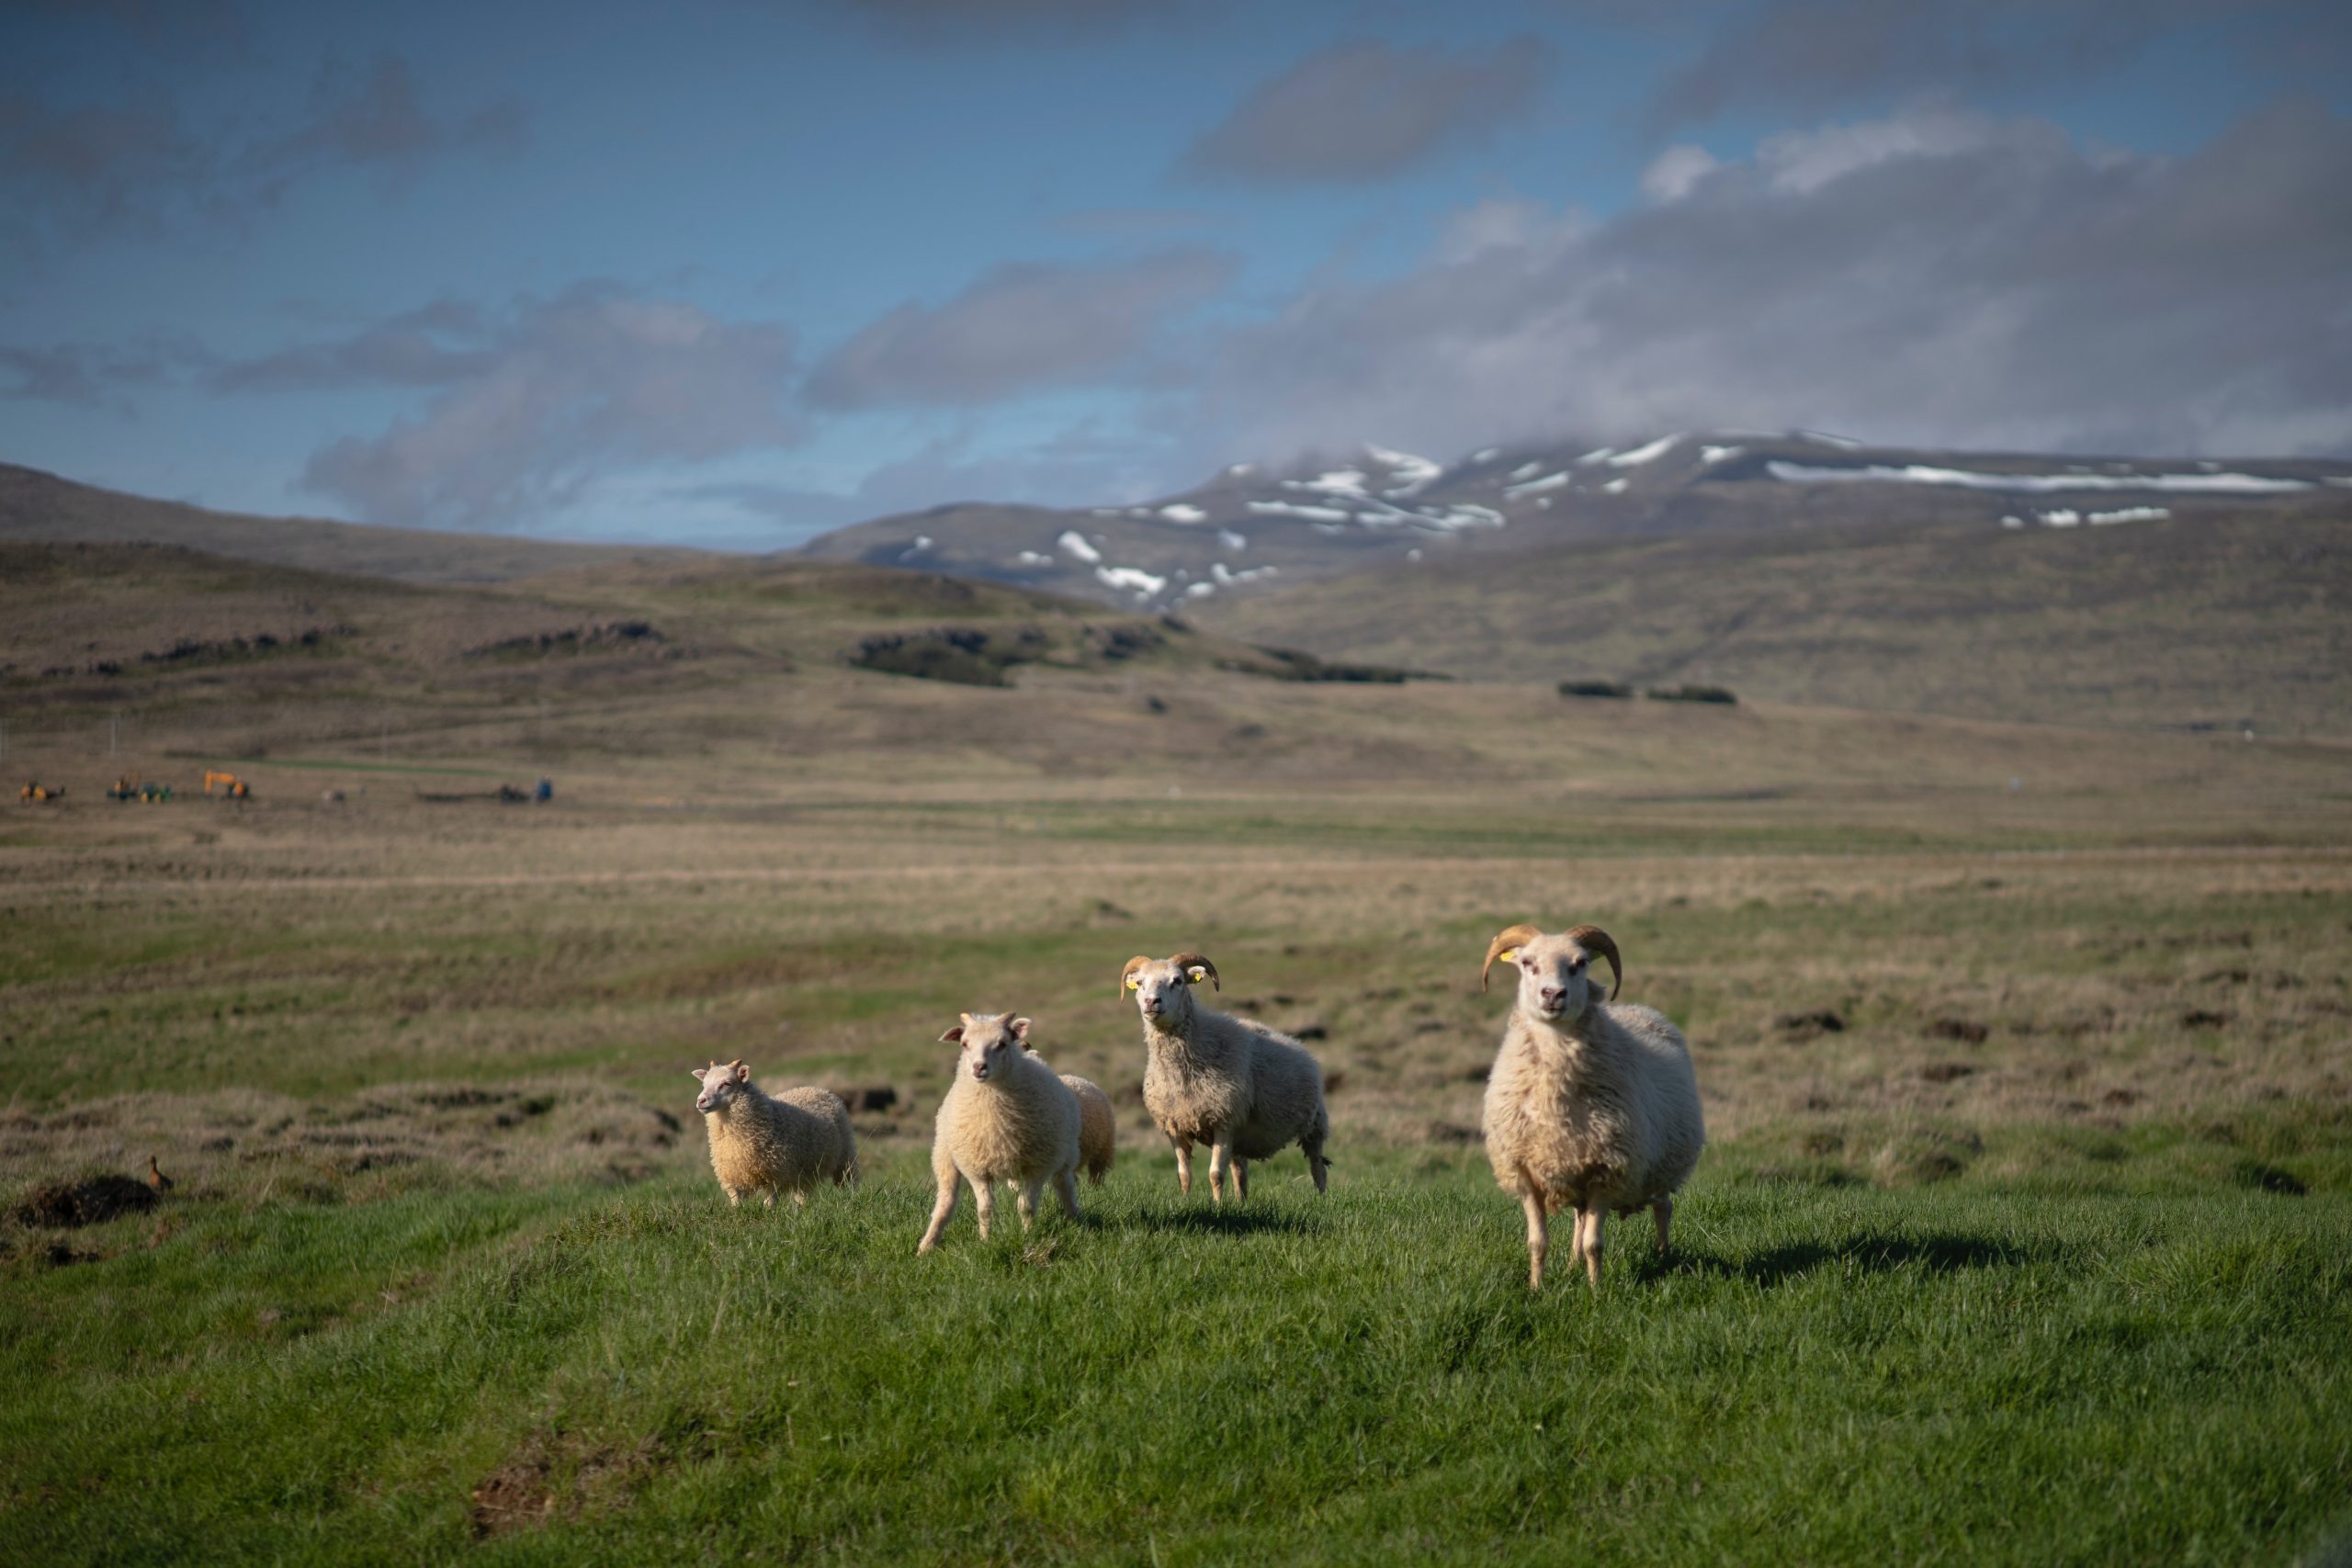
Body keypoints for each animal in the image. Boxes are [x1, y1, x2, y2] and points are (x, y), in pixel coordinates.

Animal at [690, 1058, 858, 1208]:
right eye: (704, 1084)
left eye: (726, 1083)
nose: (700, 1100)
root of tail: (820, 1090)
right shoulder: (733, 1175)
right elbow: (736, 1202)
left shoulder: (775, 1171)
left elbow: (770, 1202)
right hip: (806, 1170)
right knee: (803, 1192)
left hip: (846, 1156)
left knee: (849, 1180)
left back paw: (853, 1198)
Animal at [918, 1012, 1084, 1254]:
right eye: (964, 1044)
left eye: (1002, 1043)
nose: (979, 1067)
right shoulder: (976, 1169)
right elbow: (985, 1209)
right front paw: (985, 1241)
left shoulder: (1037, 1166)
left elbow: (1026, 1207)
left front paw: (1028, 1236)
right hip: (945, 1157)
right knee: (945, 1203)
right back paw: (926, 1246)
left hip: (1065, 1155)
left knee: (1065, 1187)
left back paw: (1076, 1220)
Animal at [1120, 952, 1330, 1202]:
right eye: (1140, 982)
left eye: (1177, 981)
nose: (1152, 1002)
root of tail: (1297, 1043)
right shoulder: (1174, 1126)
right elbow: (1183, 1175)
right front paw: (1185, 1202)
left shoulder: (1223, 1121)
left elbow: (1215, 1174)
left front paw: (1218, 1206)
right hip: (1242, 1135)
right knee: (1240, 1171)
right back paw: (1241, 1202)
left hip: (1315, 1124)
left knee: (1318, 1167)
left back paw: (1322, 1199)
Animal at [1478, 924, 1705, 1289]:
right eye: (1527, 963)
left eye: (1580, 963)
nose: (1553, 994)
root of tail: (1637, 1009)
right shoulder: (1526, 1171)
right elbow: (1538, 1242)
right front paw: (1536, 1288)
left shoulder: (1608, 1169)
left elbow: (1594, 1243)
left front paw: (1596, 1290)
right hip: (1577, 1168)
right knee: (1579, 1218)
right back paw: (1571, 1264)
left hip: (1658, 1163)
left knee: (1663, 1207)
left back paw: (1663, 1256)